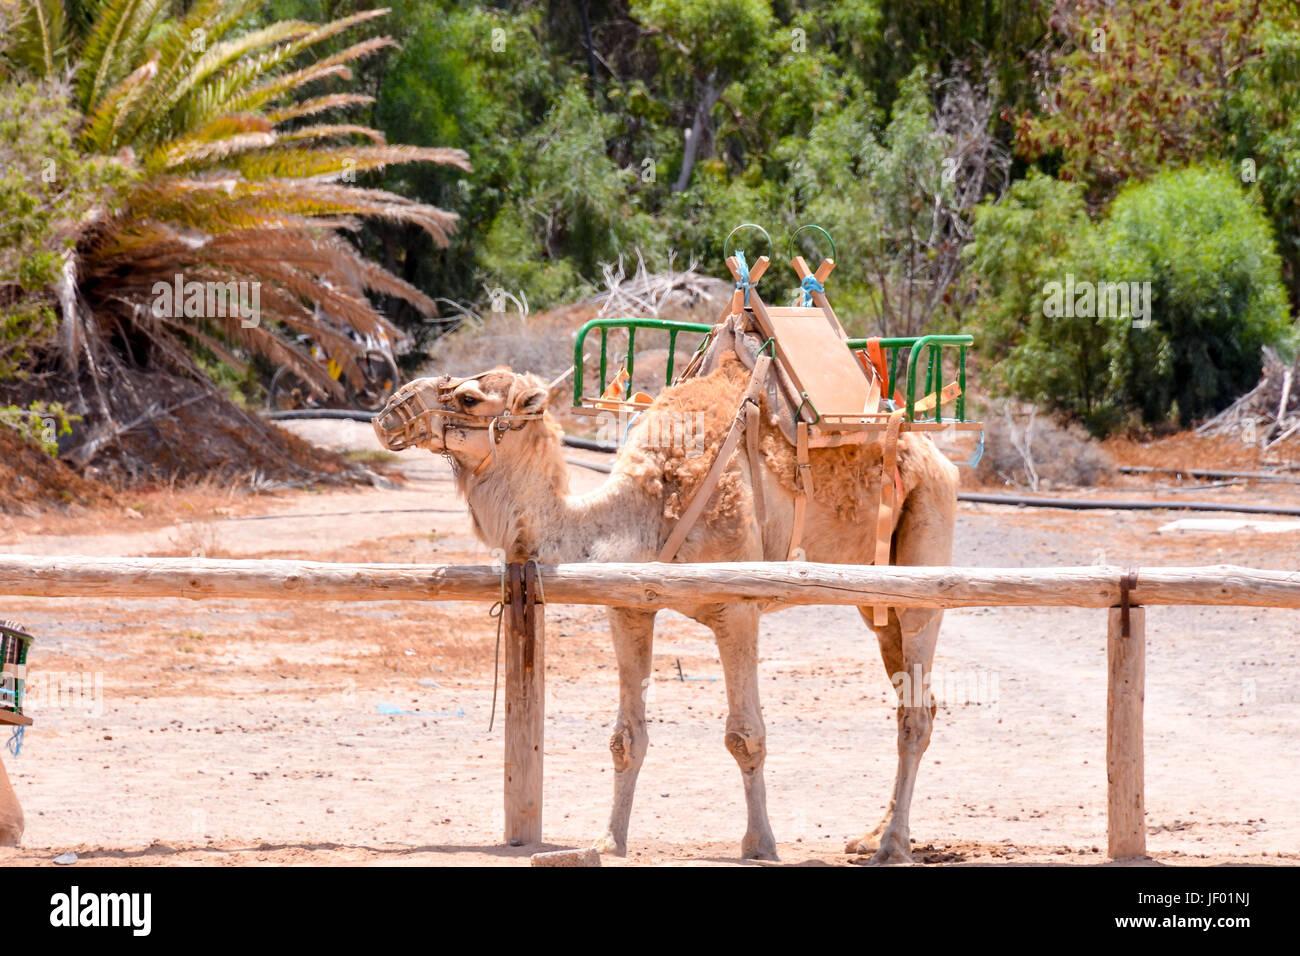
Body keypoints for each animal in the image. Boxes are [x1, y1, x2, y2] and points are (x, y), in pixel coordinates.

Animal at [374, 352, 958, 863]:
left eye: (469, 398)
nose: (387, 413)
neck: (642, 513)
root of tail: (938, 459)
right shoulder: (628, 606)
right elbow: (625, 738)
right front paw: (609, 841)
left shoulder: (737, 607)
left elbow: (745, 736)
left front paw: (759, 845)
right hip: (875, 598)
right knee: (915, 700)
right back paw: (872, 834)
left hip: (925, 548)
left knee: (914, 709)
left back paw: (891, 846)